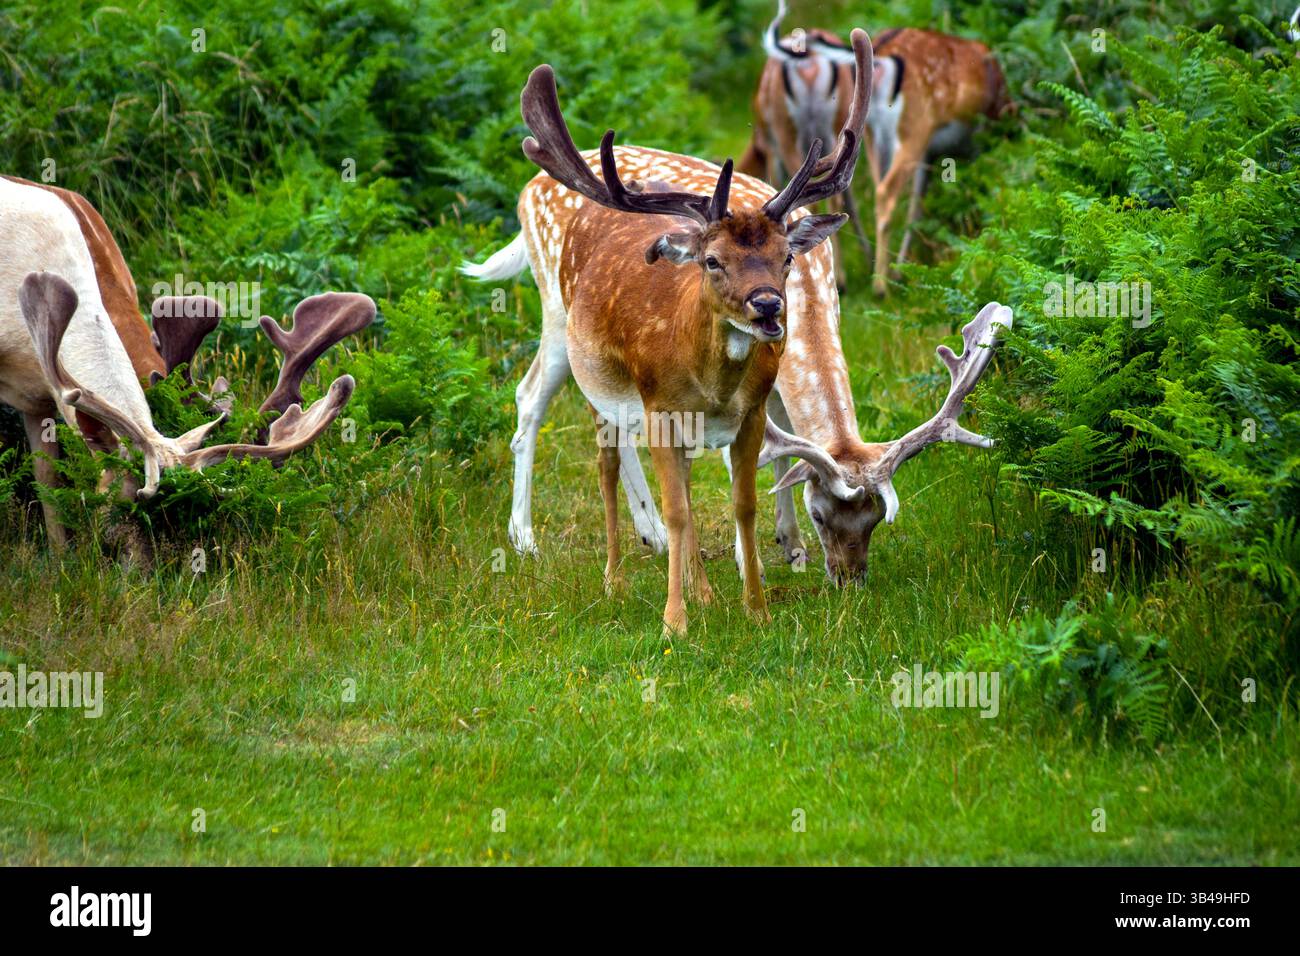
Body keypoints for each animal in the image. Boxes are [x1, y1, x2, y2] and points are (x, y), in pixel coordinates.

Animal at [462, 30, 874, 635]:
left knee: (617, 432)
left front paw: (772, 572)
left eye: (880, 514)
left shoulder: (756, 402)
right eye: (712, 260)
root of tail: (528, 188)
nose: (851, 579)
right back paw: (529, 537)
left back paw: (656, 541)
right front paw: (711, 589)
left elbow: (752, 484)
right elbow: (708, 490)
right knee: (533, 397)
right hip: (558, 318)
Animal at [783, 25, 1011, 296]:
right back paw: (880, 286)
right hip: (914, 127)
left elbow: (916, 206)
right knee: (886, 192)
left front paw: (901, 268)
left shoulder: (928, 155)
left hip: (872, 135)